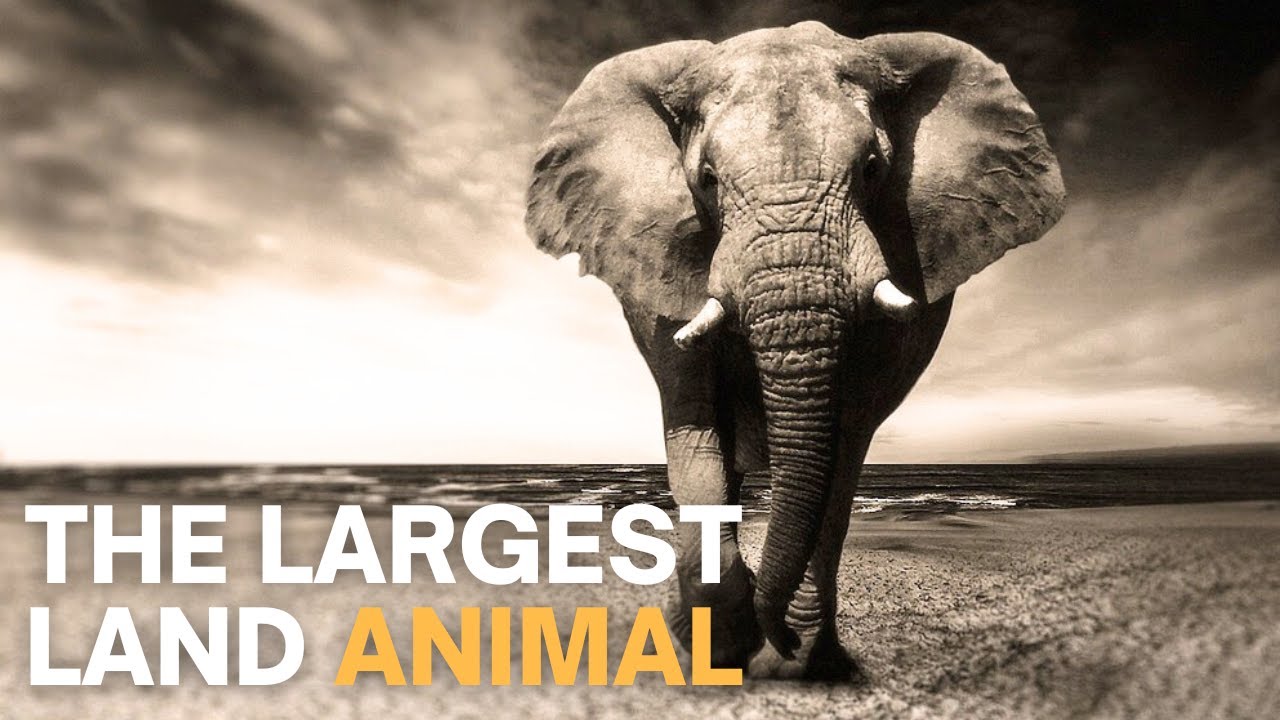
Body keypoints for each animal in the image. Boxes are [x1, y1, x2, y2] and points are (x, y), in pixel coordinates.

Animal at [525, 21, 1064, 679]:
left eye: (873, 168)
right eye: (706, 179)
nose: (774, 633)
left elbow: (842, 446)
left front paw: (793, 659)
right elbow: (695, 429)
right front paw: (726, 645)